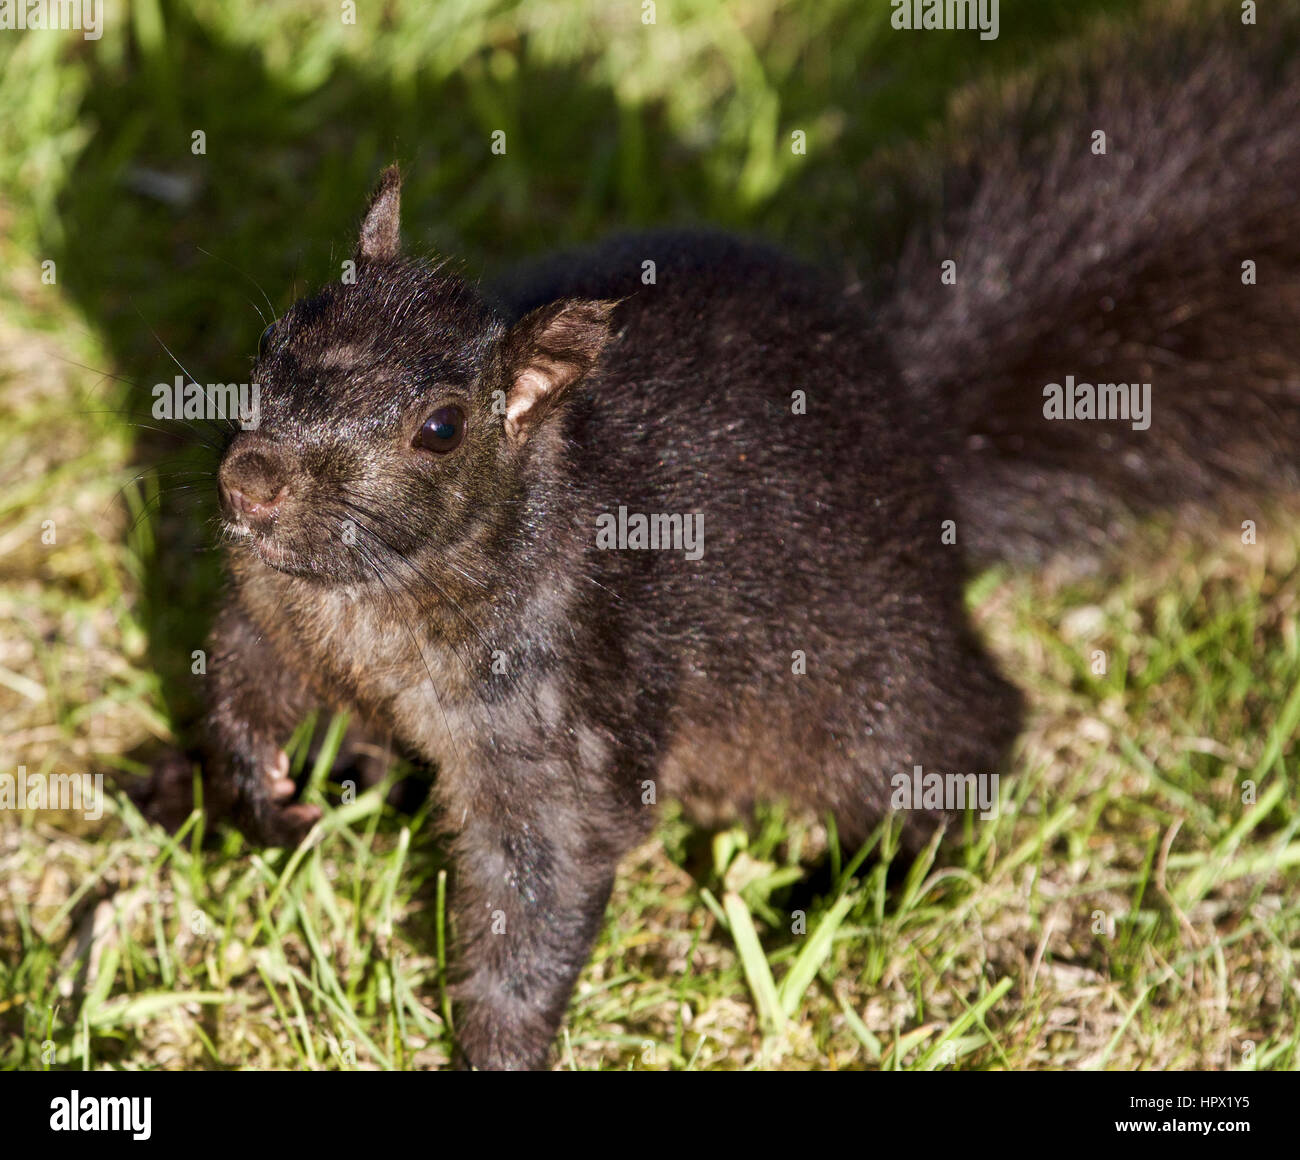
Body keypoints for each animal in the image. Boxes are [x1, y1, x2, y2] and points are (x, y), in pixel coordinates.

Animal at [183, 8, 1299, 1069]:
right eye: (277, 335)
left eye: (443, 428)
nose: (250, 482)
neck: (368, 599)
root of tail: (920, 428)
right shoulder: (270, 618)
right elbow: (240, 682)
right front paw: (256, 793)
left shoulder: (566, 708)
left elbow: (541, 873)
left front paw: (497, 1046)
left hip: (867, 673)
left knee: (959, 735)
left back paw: (858, 882)